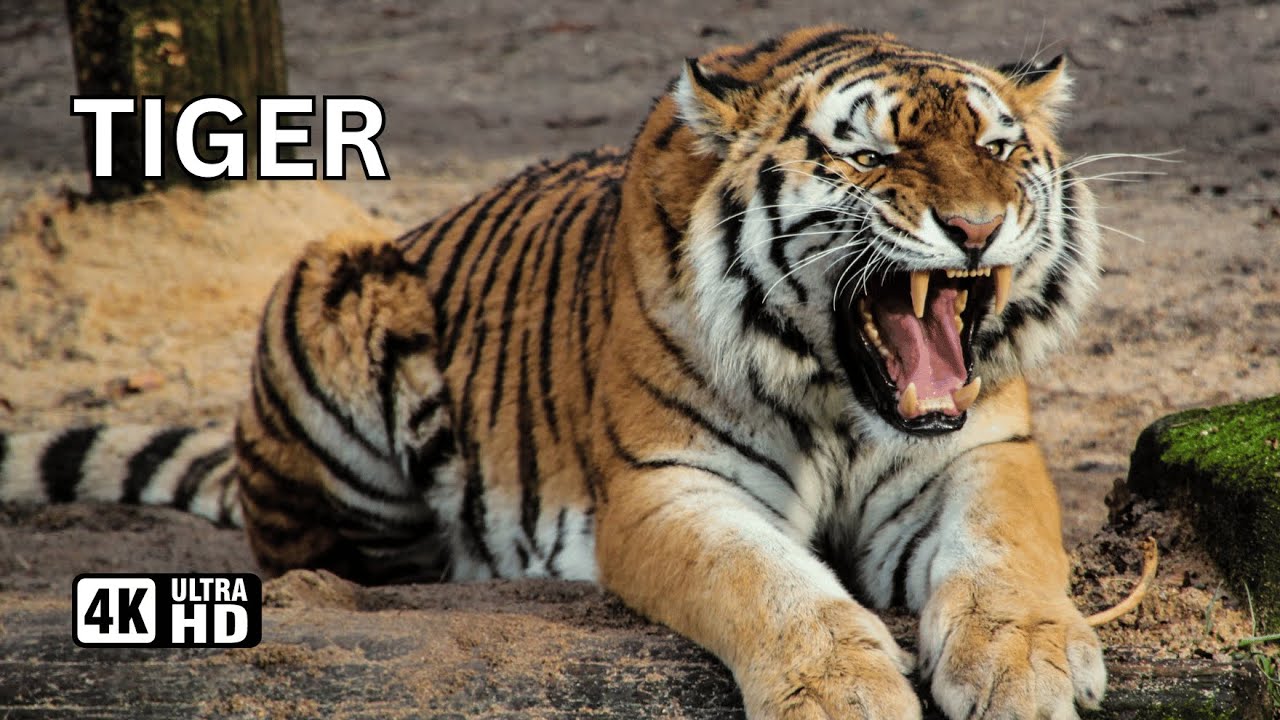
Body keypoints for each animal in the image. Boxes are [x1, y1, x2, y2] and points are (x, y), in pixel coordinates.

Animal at [0, 26, 1108, 719]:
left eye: (998, 148)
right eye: (872, 158)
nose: (975, 228)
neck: (841, 396)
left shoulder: (980, 450)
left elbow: (1006, 552)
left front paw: (1027, 664)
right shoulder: (667, 486)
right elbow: (767, 583)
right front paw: (844, 694)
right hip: (333, 277)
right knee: (325, 555)